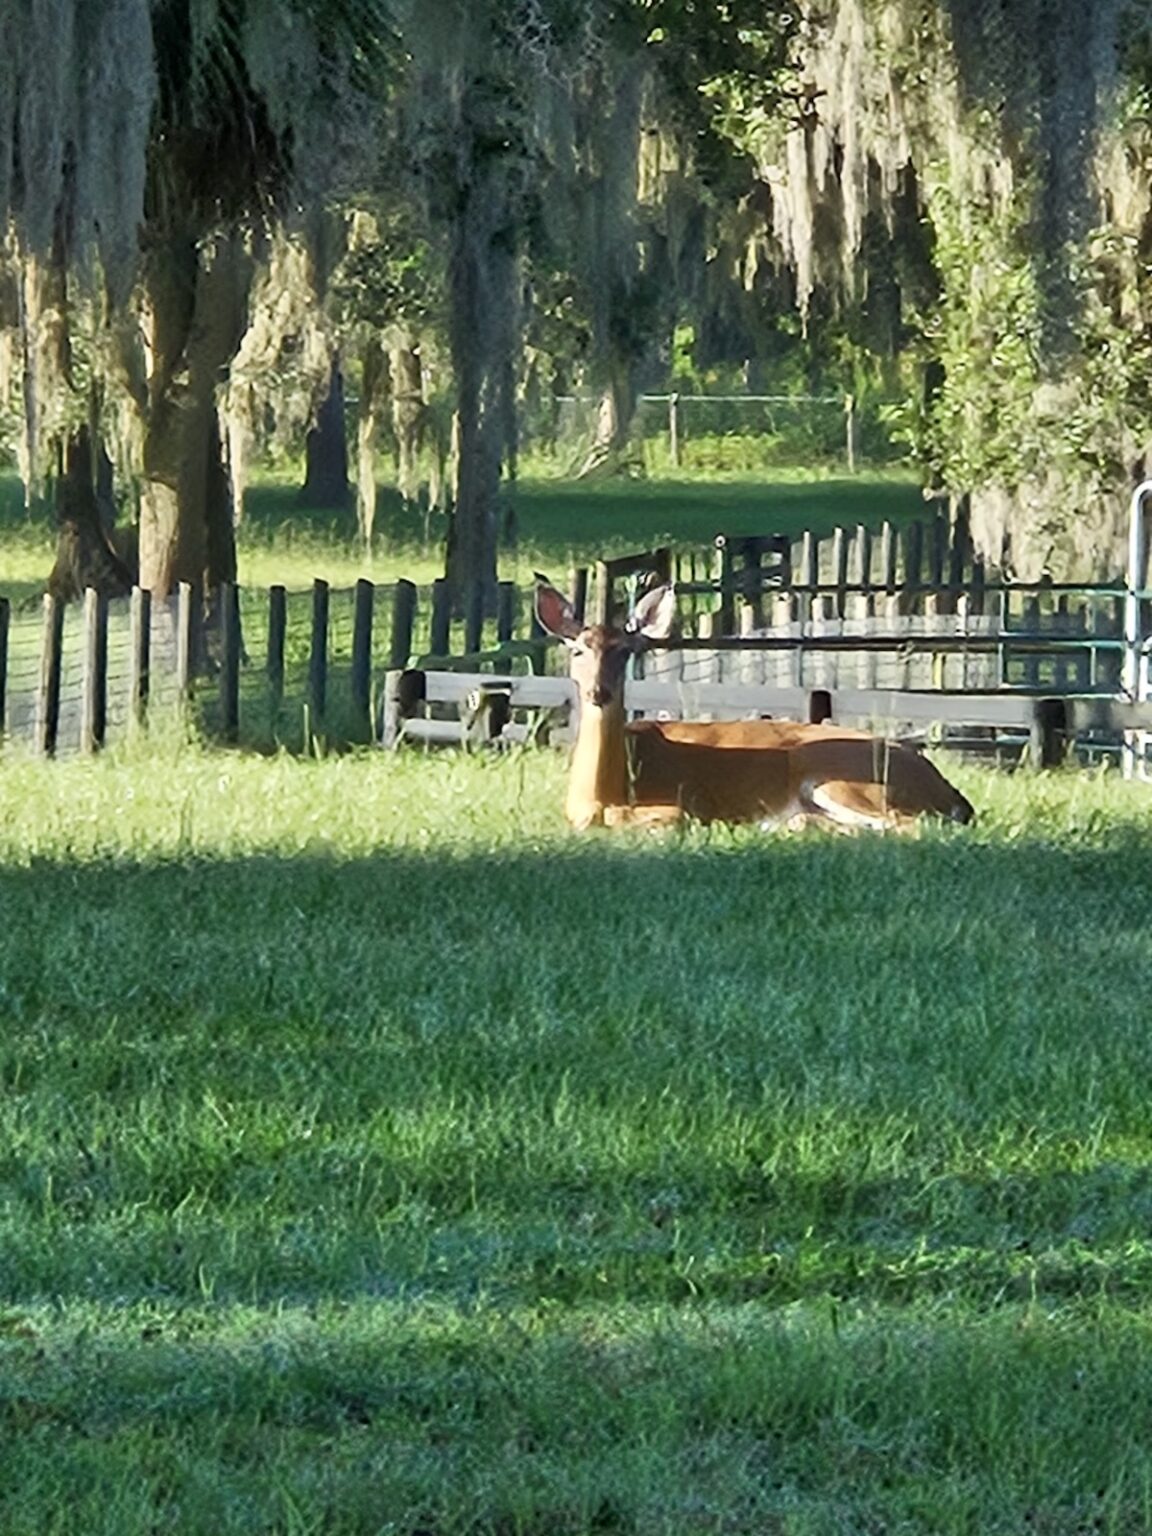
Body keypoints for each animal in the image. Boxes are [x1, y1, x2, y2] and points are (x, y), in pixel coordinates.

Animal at [535, 579, 975, 832]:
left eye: (625, 651)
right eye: (576, 650)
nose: (598, 692)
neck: (603, 788)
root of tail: (952, 793)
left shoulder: (685, 802)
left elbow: (663, 816)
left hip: (845, 777)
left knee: (914, 824)